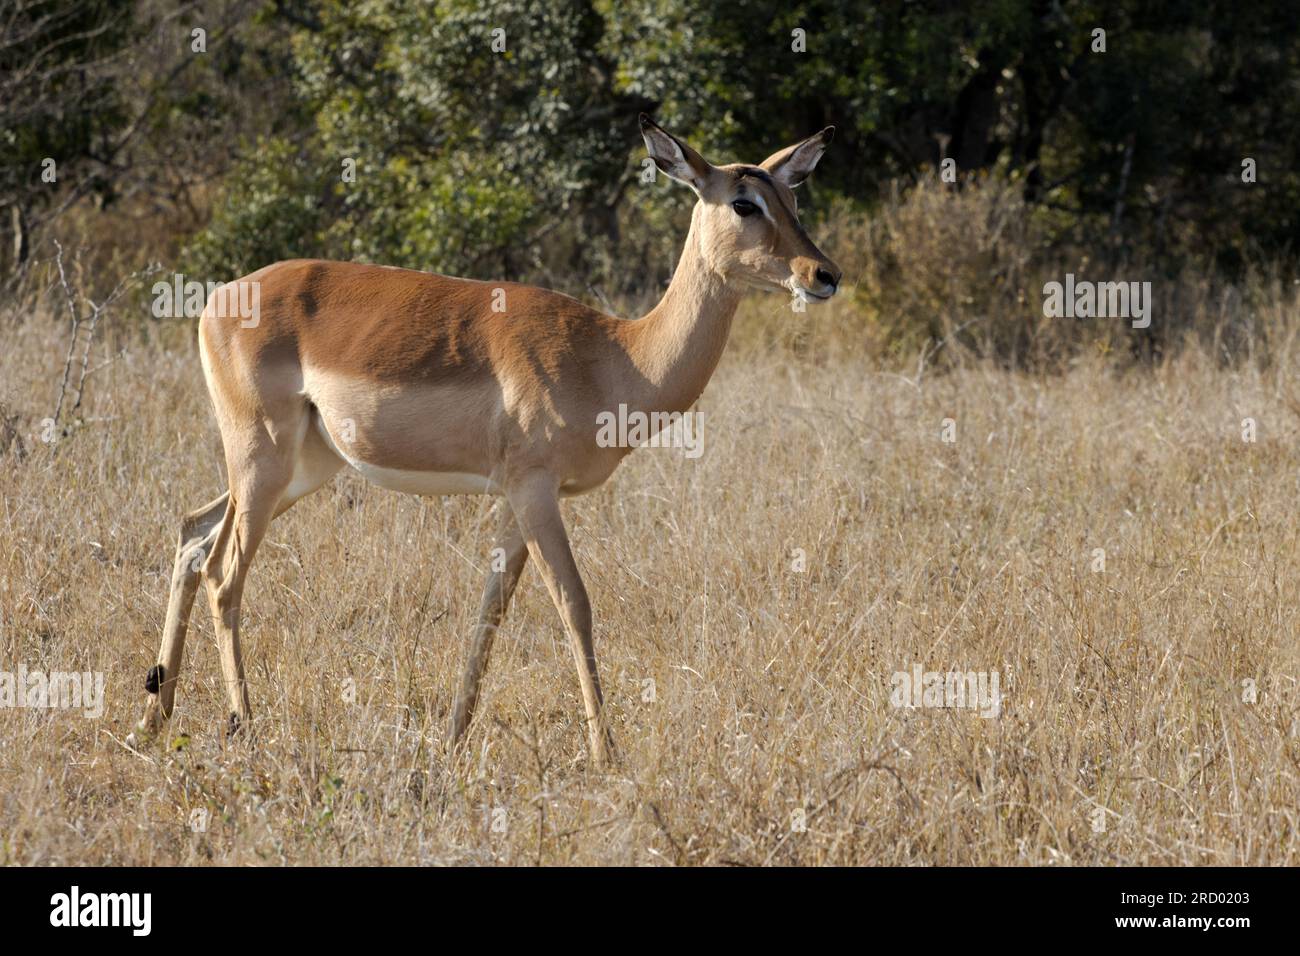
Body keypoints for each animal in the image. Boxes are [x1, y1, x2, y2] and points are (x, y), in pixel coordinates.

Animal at [128, 116, 841, 766]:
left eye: (794, 198)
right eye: (743, 202)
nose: (823, 274)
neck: (616, 354)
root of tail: (218, 298)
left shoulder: (511, 500)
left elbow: (489, 610)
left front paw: (451, 739)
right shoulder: (535, 492)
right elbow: (573, 603)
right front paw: (607, 754)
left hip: (303, 466)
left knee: (192, 534)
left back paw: (153, 721)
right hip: (263, 459)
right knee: (223, 573)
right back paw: (244, 727)